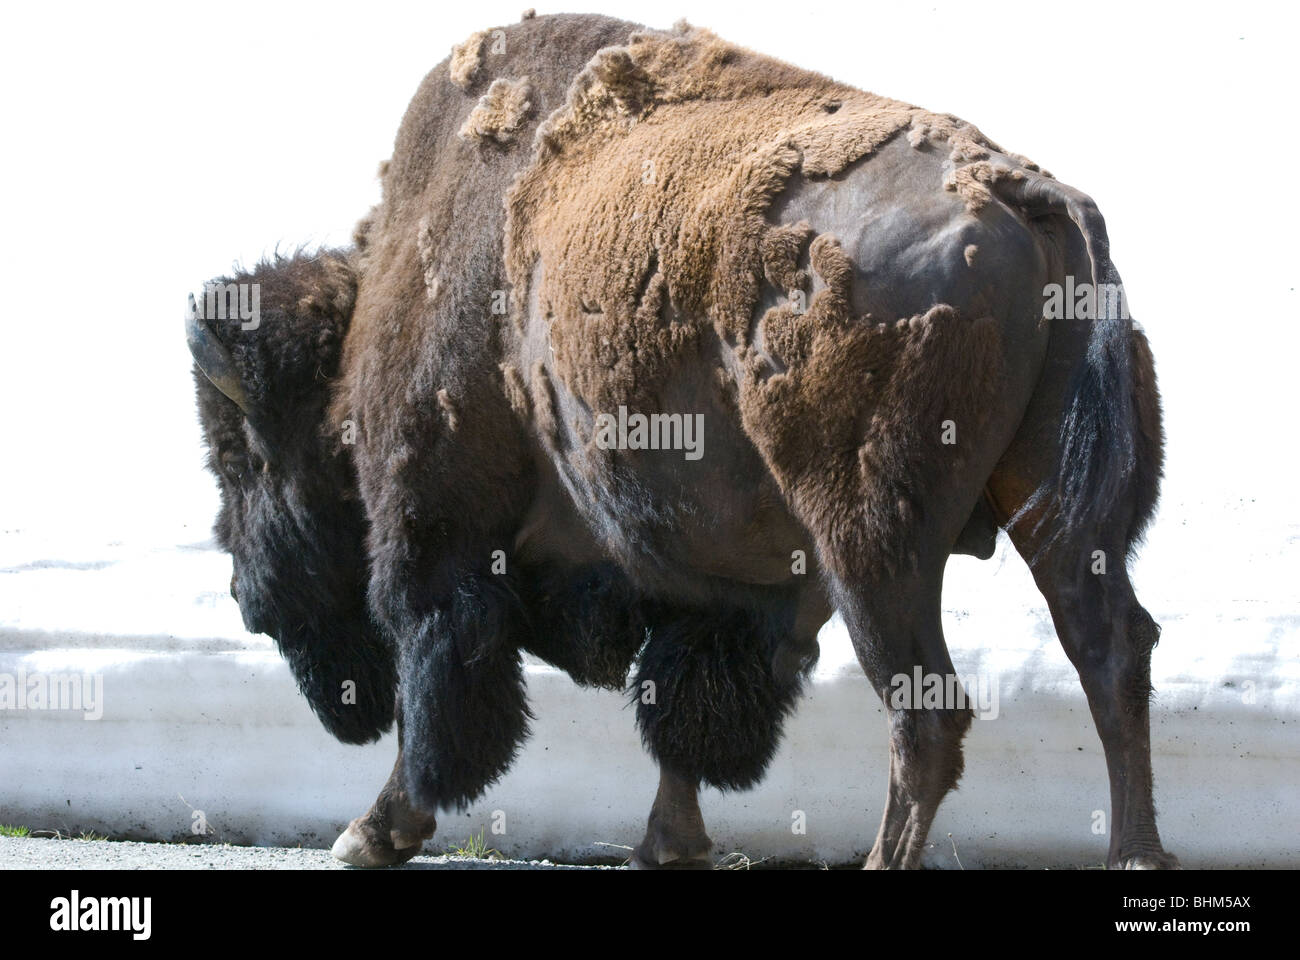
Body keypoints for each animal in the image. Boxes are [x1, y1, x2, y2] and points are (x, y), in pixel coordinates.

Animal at [189, 12, 1174, 869]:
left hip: (874, 550)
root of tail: (1023, 194)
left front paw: (370, 832)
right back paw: (1137, 855)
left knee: (928, 712)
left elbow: (437, 685)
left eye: (243, 460)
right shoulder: (714, 585)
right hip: (1058, 520)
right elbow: (685, 711)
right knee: (1110, 653)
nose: (241, 595)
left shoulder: (438, 532)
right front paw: (669, 843)